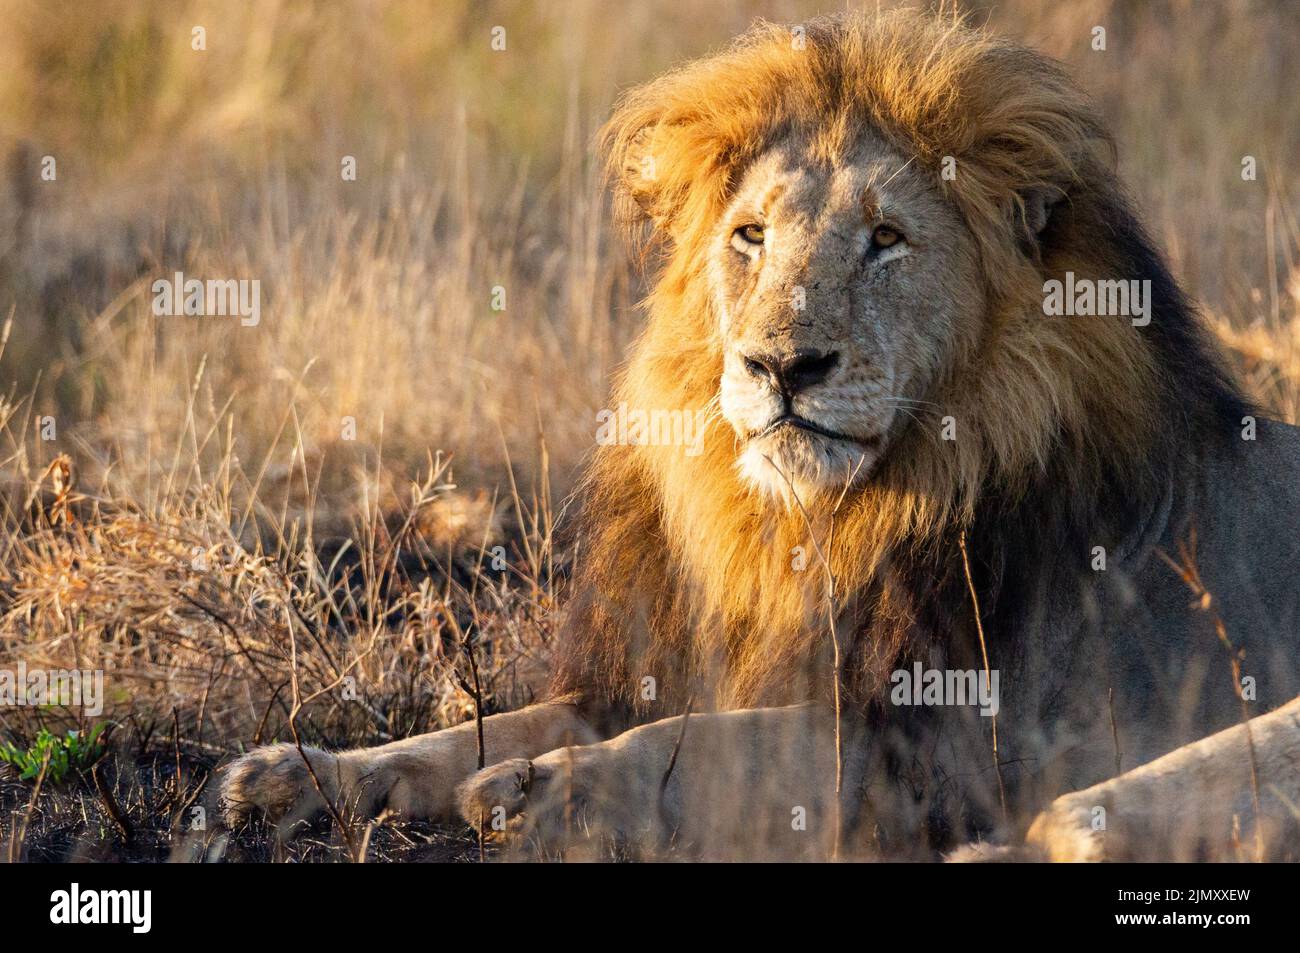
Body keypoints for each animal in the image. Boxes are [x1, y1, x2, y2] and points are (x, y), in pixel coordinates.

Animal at [221, 10, 1300, 860]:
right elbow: (476, 730)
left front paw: (546, 790)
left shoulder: (949, 741)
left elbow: (706, 743)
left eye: (886, 240)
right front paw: (297, 772)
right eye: (750, 236)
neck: (800, 525)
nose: (782, 365)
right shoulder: (650, 669)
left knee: (1076, 824)